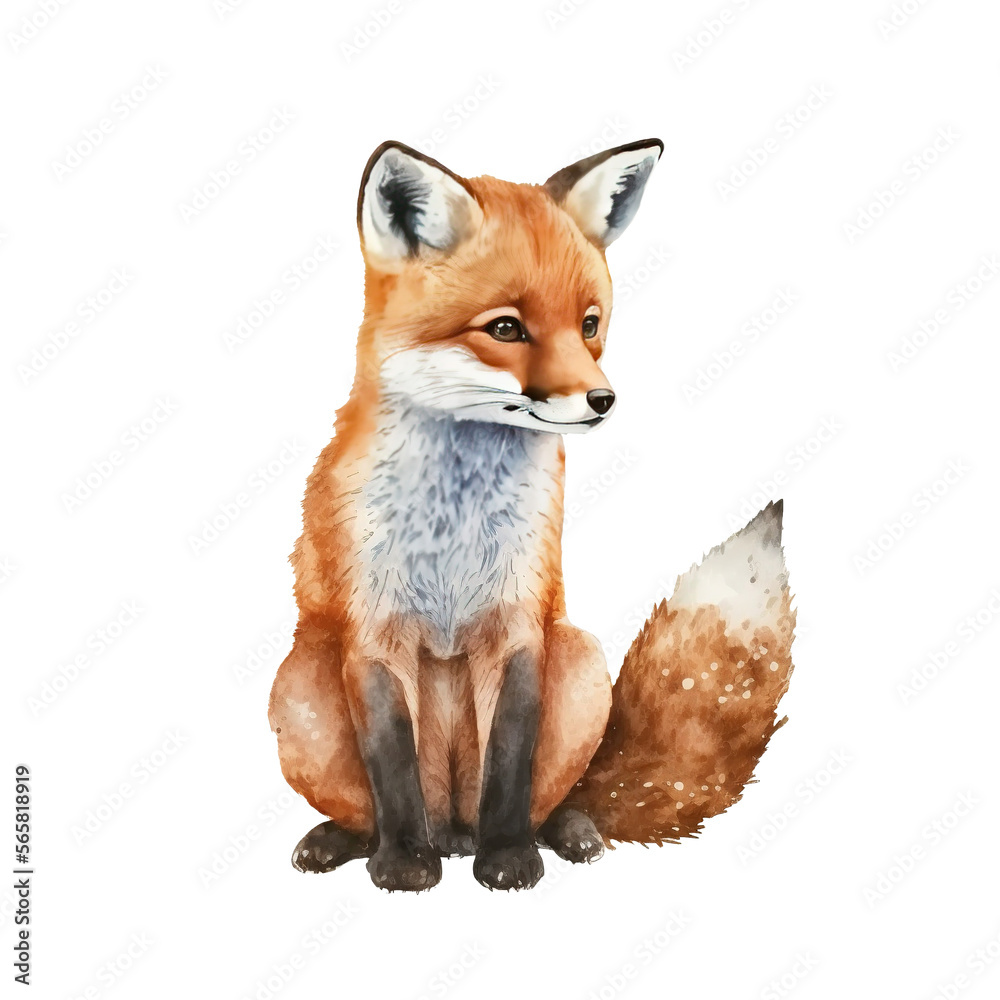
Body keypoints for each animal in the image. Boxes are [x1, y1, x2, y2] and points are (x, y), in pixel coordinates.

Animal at [268, 138, 796, 892]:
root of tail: (453, 827)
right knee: (371, 806)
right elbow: (391, 762)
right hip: (301, 678)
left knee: (559, 798)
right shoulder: (373, 633)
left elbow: (511, 758)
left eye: (589, 324)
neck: (454, 527)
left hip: (577, 656)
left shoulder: (520, 621)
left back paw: (563, 832)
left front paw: (510, 857)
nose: (602, 400)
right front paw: (404, 864)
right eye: (506, 329)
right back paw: (347, 840)